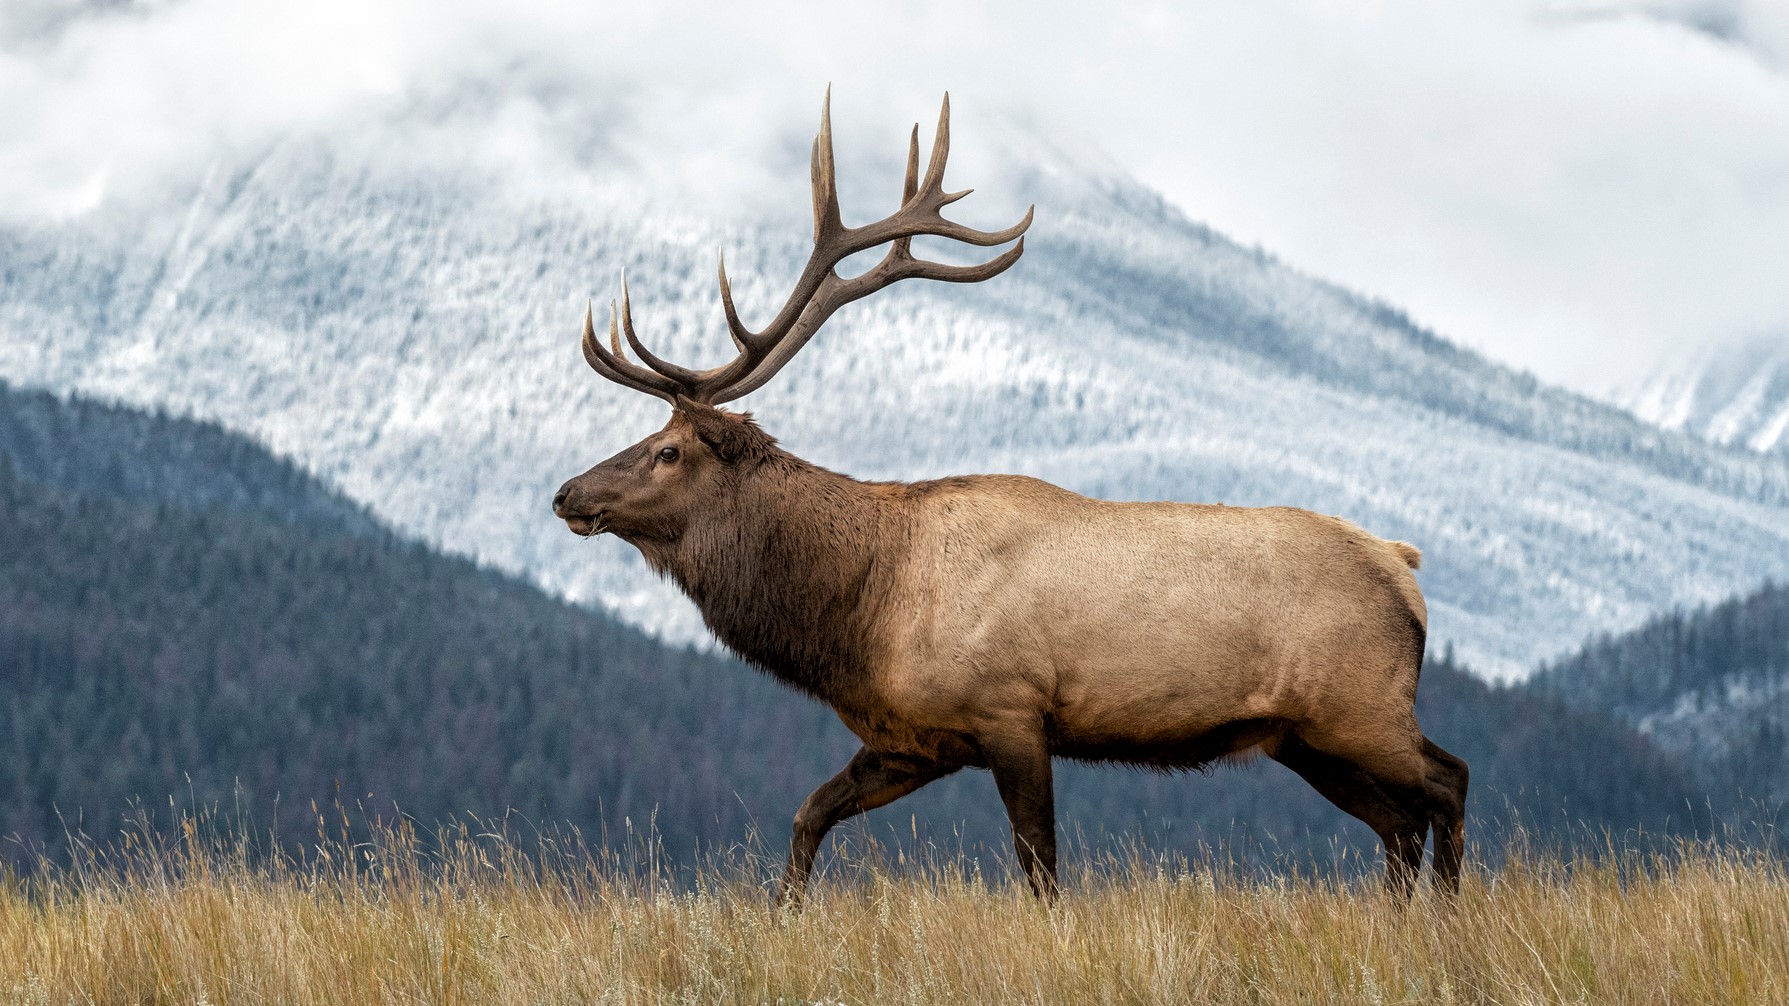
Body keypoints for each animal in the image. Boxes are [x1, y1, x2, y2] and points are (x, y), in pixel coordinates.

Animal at [551, 93, 1470, 904]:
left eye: (667, 450)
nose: (565, 493)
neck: (862, 611)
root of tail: (1404, 568)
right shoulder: (912, 738)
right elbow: (809, 815)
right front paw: (781, 917)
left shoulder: (1011, 710)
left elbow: (1039, 869)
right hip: (1300, 736)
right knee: (1396, 822)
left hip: (1358, 705)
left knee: (1446, 783)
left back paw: (1451, 917)